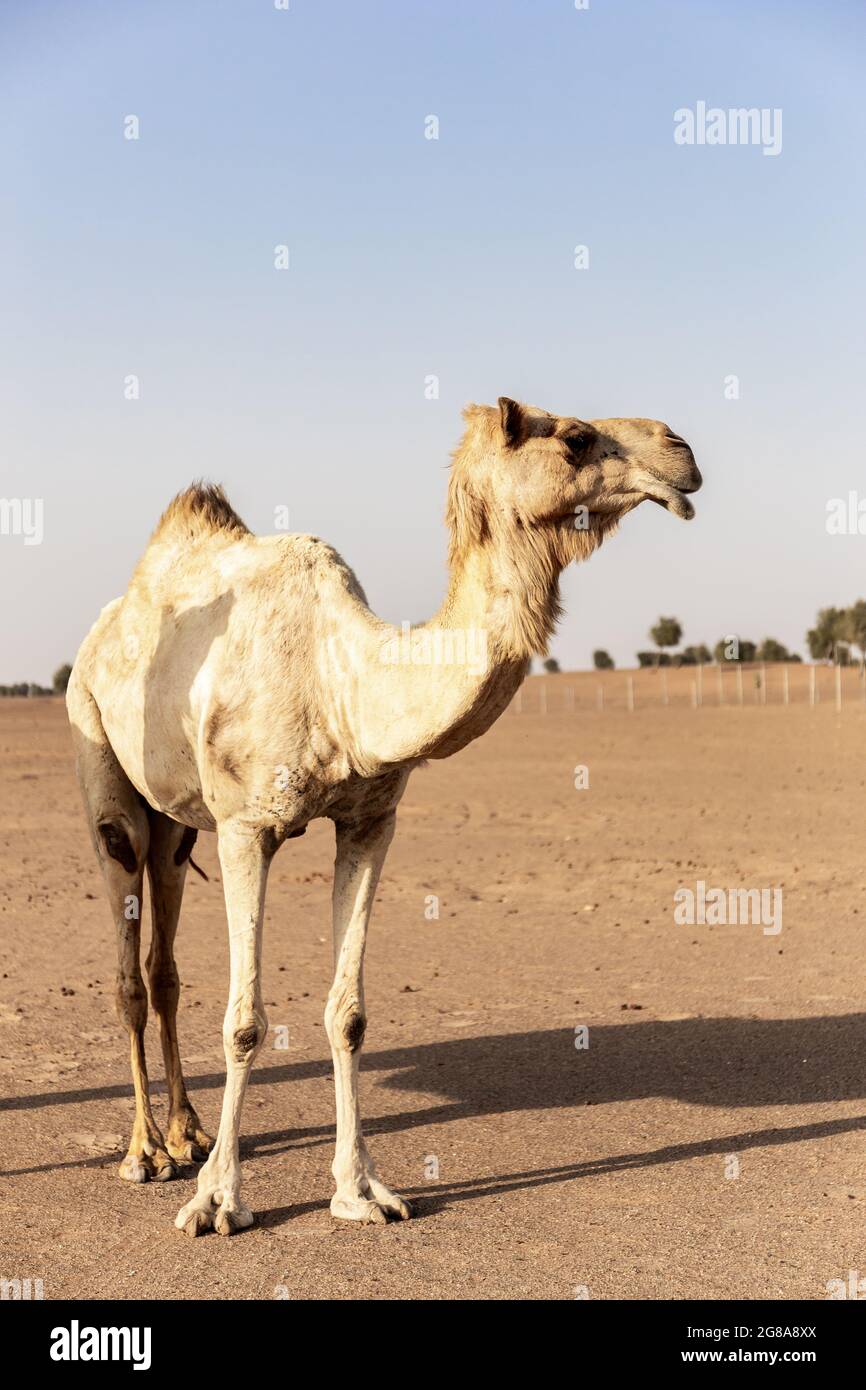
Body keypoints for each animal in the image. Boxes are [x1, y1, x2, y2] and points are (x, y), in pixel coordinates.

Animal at [66, 397, 700, 1235]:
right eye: (574, 436)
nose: (682, 451)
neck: (343, 683)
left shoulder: (369, 821)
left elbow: (349, 1014)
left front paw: (361, 1190)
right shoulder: (246, 827)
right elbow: (244, 1021)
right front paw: (217, 1200)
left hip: (178, 819)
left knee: (163, 963)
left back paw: (187, 1132)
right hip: (101, 755)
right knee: (127, 946)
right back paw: (145, 1153)